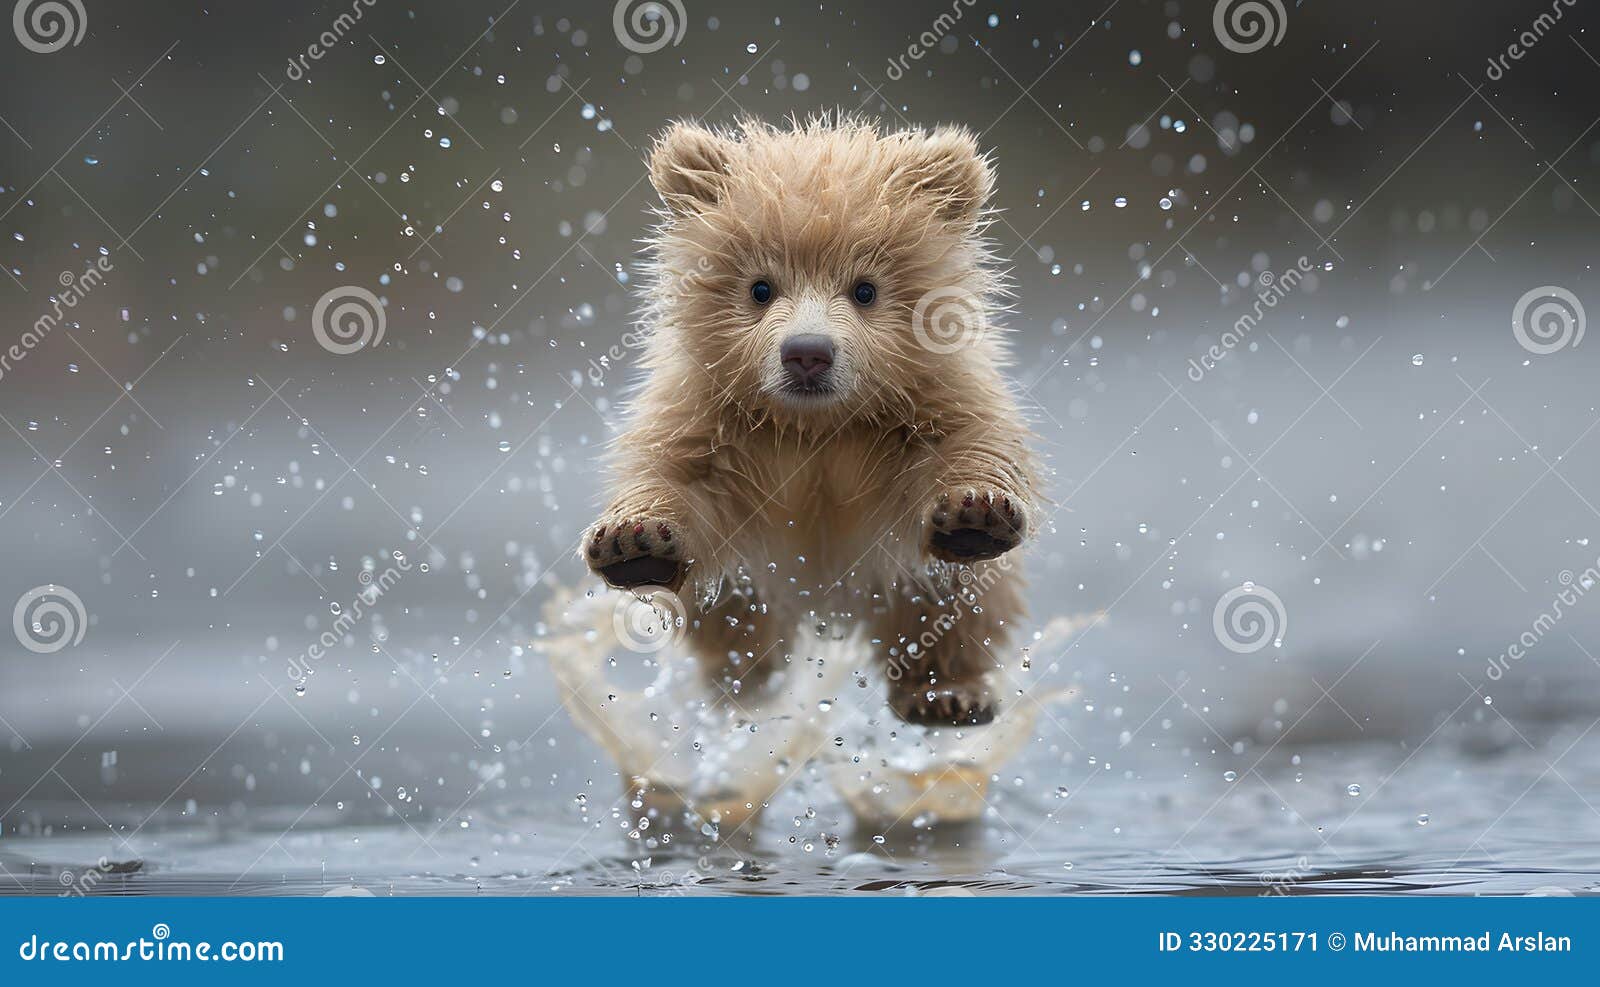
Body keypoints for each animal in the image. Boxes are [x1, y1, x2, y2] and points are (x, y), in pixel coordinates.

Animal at [583, 115, 1040, 727]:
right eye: (760, 287)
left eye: (866, 288)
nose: (806, 353)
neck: (818, 426)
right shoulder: (716, 420)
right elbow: (678, 476)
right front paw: (632, 543)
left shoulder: (923, 404)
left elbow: (969, 444)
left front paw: (976, 514)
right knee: (737, 630)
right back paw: (745, 688)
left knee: (954, 609)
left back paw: (946, 693)